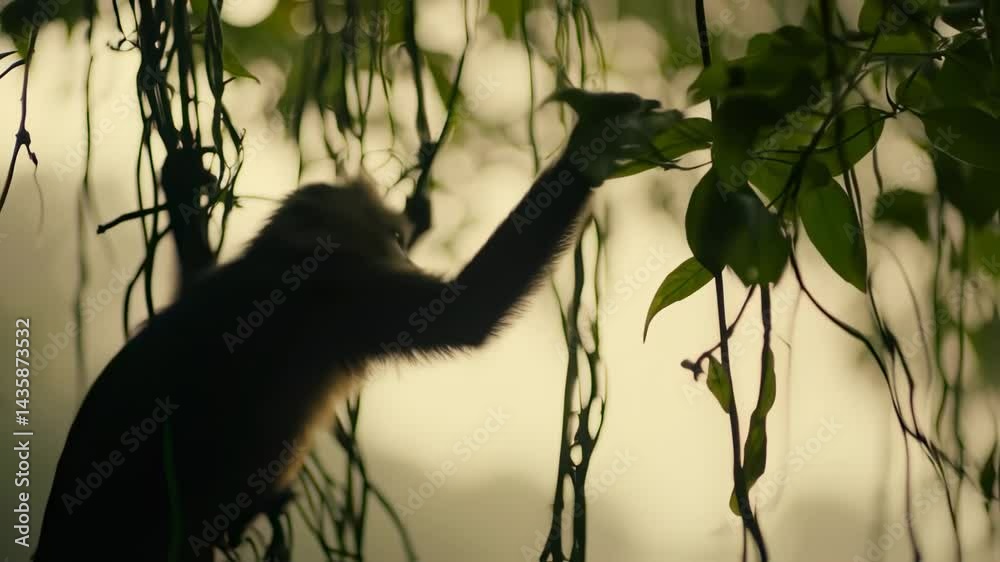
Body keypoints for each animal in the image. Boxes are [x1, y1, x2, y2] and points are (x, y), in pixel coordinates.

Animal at [33, 92, 655, 562]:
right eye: (393, 240)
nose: (404, 249)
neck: (282, 257)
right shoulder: (341, 295)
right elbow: (468, 311)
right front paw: (593, 145)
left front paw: (183, 190)